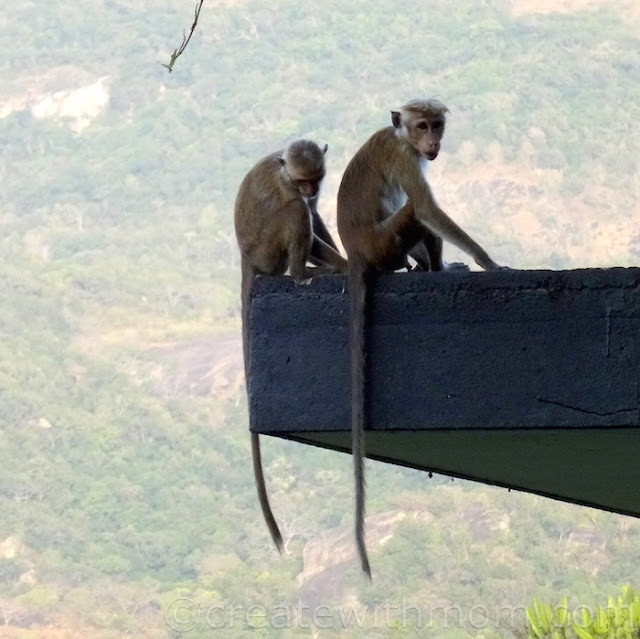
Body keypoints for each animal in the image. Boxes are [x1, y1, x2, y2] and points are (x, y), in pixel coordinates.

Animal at [234, 139, 347, 554]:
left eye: (318, 178)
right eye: (302, 180)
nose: (310, 191)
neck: (284, 170)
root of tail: (246, 257)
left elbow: (317, 219)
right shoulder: (287, 190)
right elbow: (302, 214)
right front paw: (345, 266)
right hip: (269, 251)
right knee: (297, 216)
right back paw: (301, 275)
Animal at [336, 98, 505, 577]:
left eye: (438, 125)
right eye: (422, 125)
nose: (433, 142)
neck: (401, 138)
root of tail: (355, 252)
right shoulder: (405, 160)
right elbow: (427, 209)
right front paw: (487, 261)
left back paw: (432, 269)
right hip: (384, 243)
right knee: (414, 210)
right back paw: (432, 269)